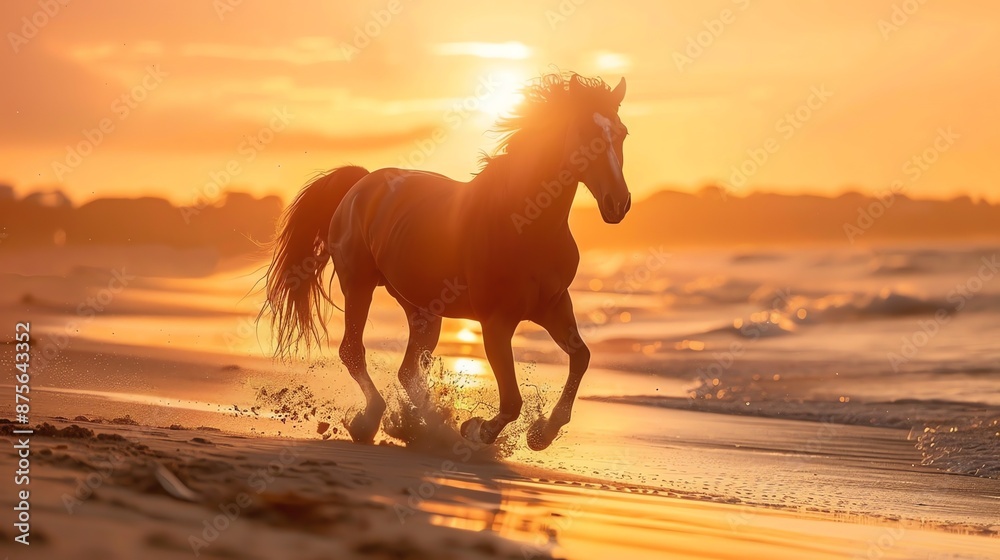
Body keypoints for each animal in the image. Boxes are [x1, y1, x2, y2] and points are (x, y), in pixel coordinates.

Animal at [261, 72, 631, 450]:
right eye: (584, 133)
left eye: (622, 133)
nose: (618, 203)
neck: (525, 223)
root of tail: (361, 183)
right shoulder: (496, 322)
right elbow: (512, 400)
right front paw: (477, 429)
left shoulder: (553, 306)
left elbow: (581, 358)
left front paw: (541, 433)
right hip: (359, 285)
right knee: (353, 351)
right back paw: (372, 423)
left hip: (422, 309)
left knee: (408, 371)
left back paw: (422, 428)